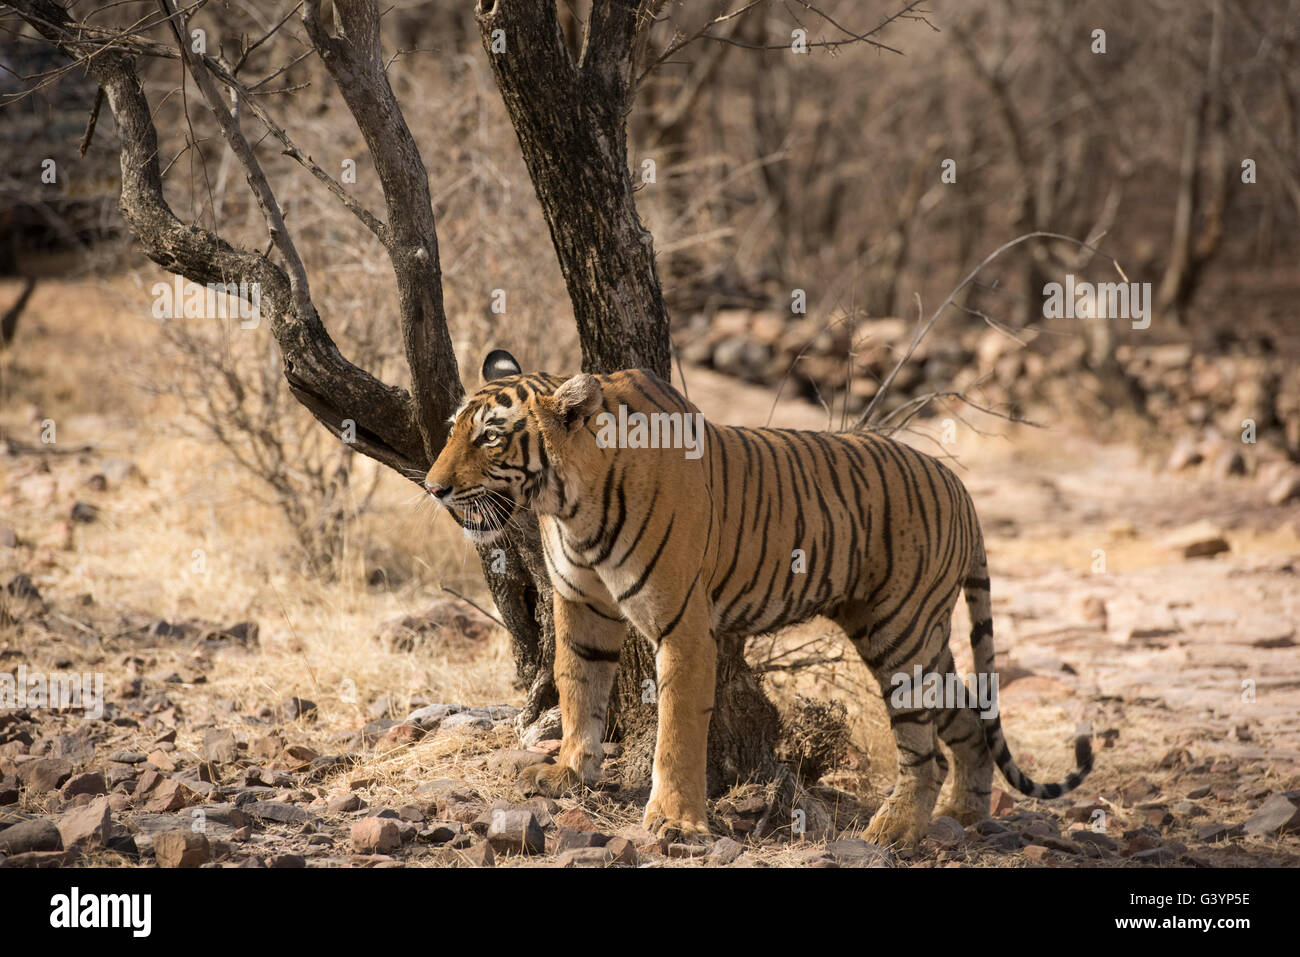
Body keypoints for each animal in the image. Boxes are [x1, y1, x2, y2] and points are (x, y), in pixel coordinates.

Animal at [425, 348, 1093, 845]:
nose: (432, 488)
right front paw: (567, 773)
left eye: (490, 438)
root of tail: (960, 486)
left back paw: (897, 828)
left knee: (921, 743)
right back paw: (964, 814)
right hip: (910, 634)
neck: (567, 501)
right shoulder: (581, 607)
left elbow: (676, 726)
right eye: (455, 430)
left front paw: (673, 820)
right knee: (968, 720)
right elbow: (578, 688)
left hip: (901, 633)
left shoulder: (682, 623)